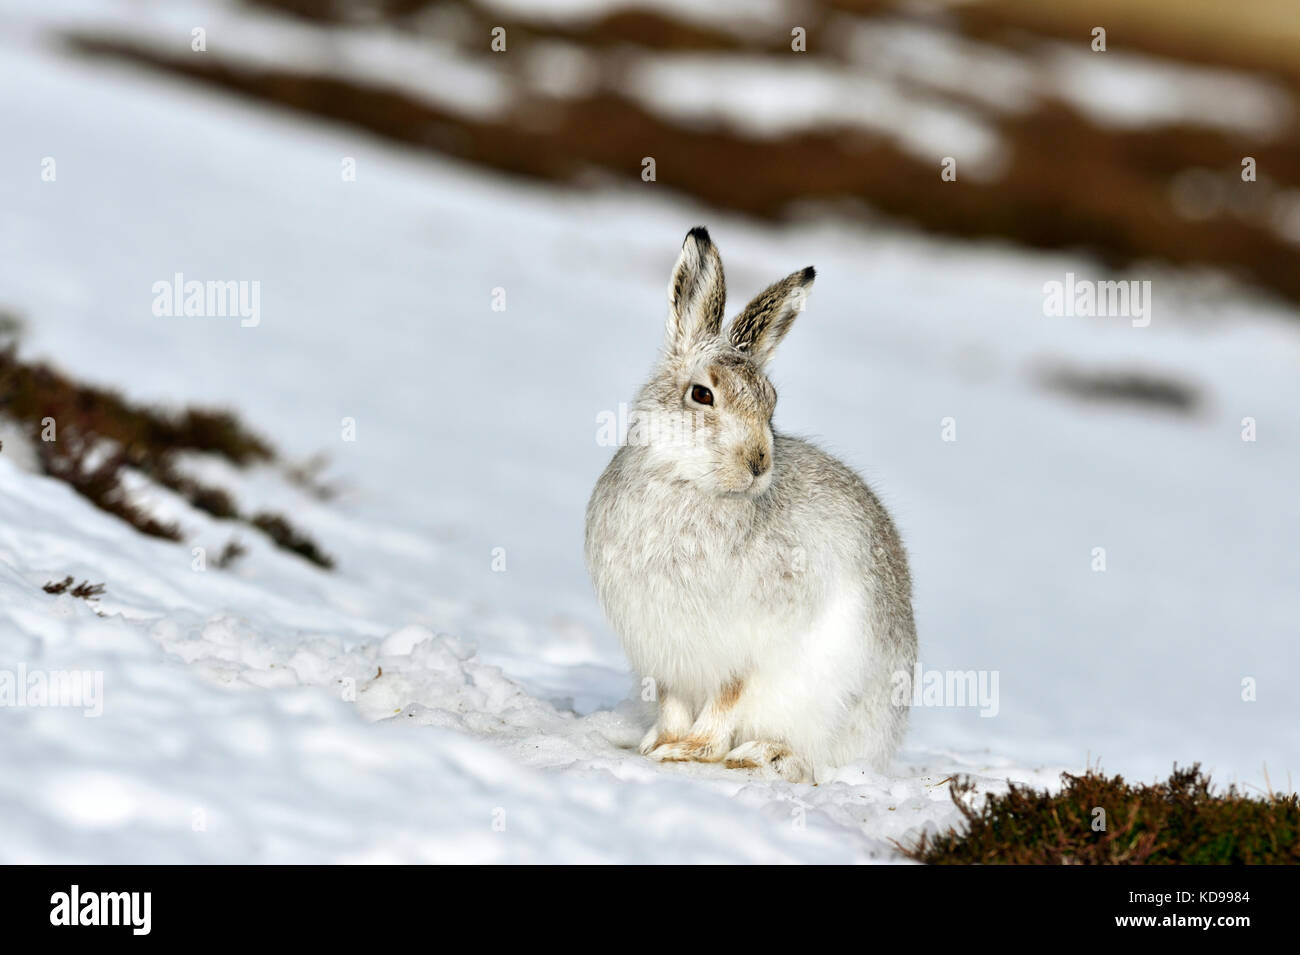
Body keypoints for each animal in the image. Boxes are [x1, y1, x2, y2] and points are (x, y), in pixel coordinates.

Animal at [585, 227, 917, 783]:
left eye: (771, 404)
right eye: (702, 395)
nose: (759, 461)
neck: (691, 487)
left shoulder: (747, 647)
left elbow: (729, 695)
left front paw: (693, 750)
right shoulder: (663, 652)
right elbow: (674, 700)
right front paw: (665, 744)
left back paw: (764, 754)